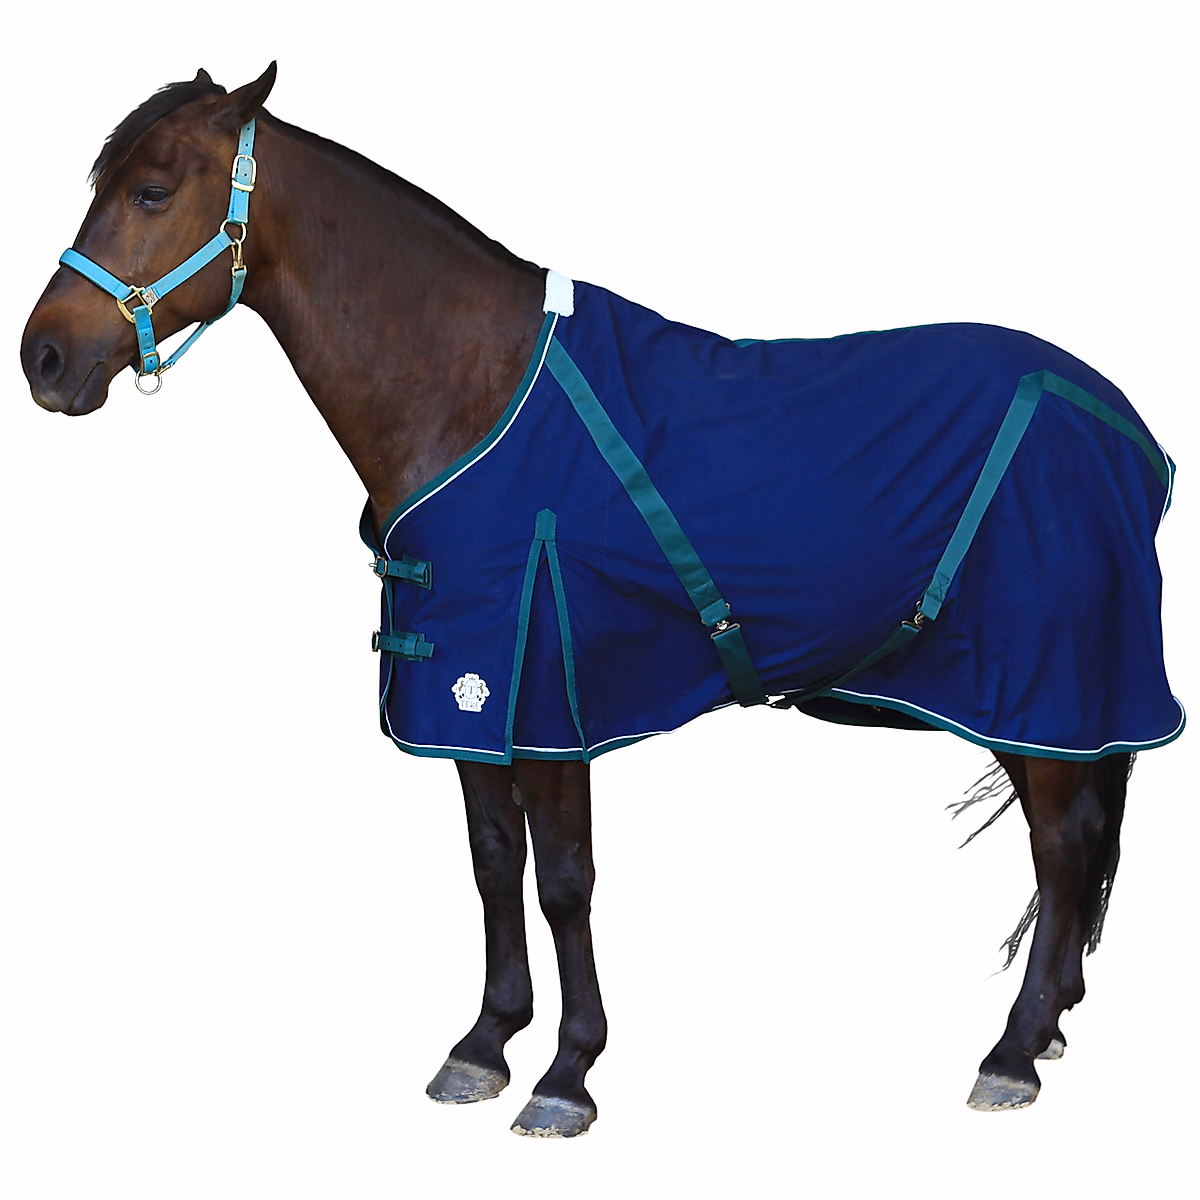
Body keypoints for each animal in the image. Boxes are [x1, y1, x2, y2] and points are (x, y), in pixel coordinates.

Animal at [21, 64, 1182, 1137]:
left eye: (153, 191)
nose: (44, 357)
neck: (471, 390)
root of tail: (1122, 421)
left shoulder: (549, 699)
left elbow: (564, 881)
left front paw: (567, 1073)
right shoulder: (471, 697)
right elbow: (495, 868)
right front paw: (484, 1044)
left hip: (1042, 688)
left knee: (1063, 845)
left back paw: (1013, 1052)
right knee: (1074, 847)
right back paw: (1053, 1022)